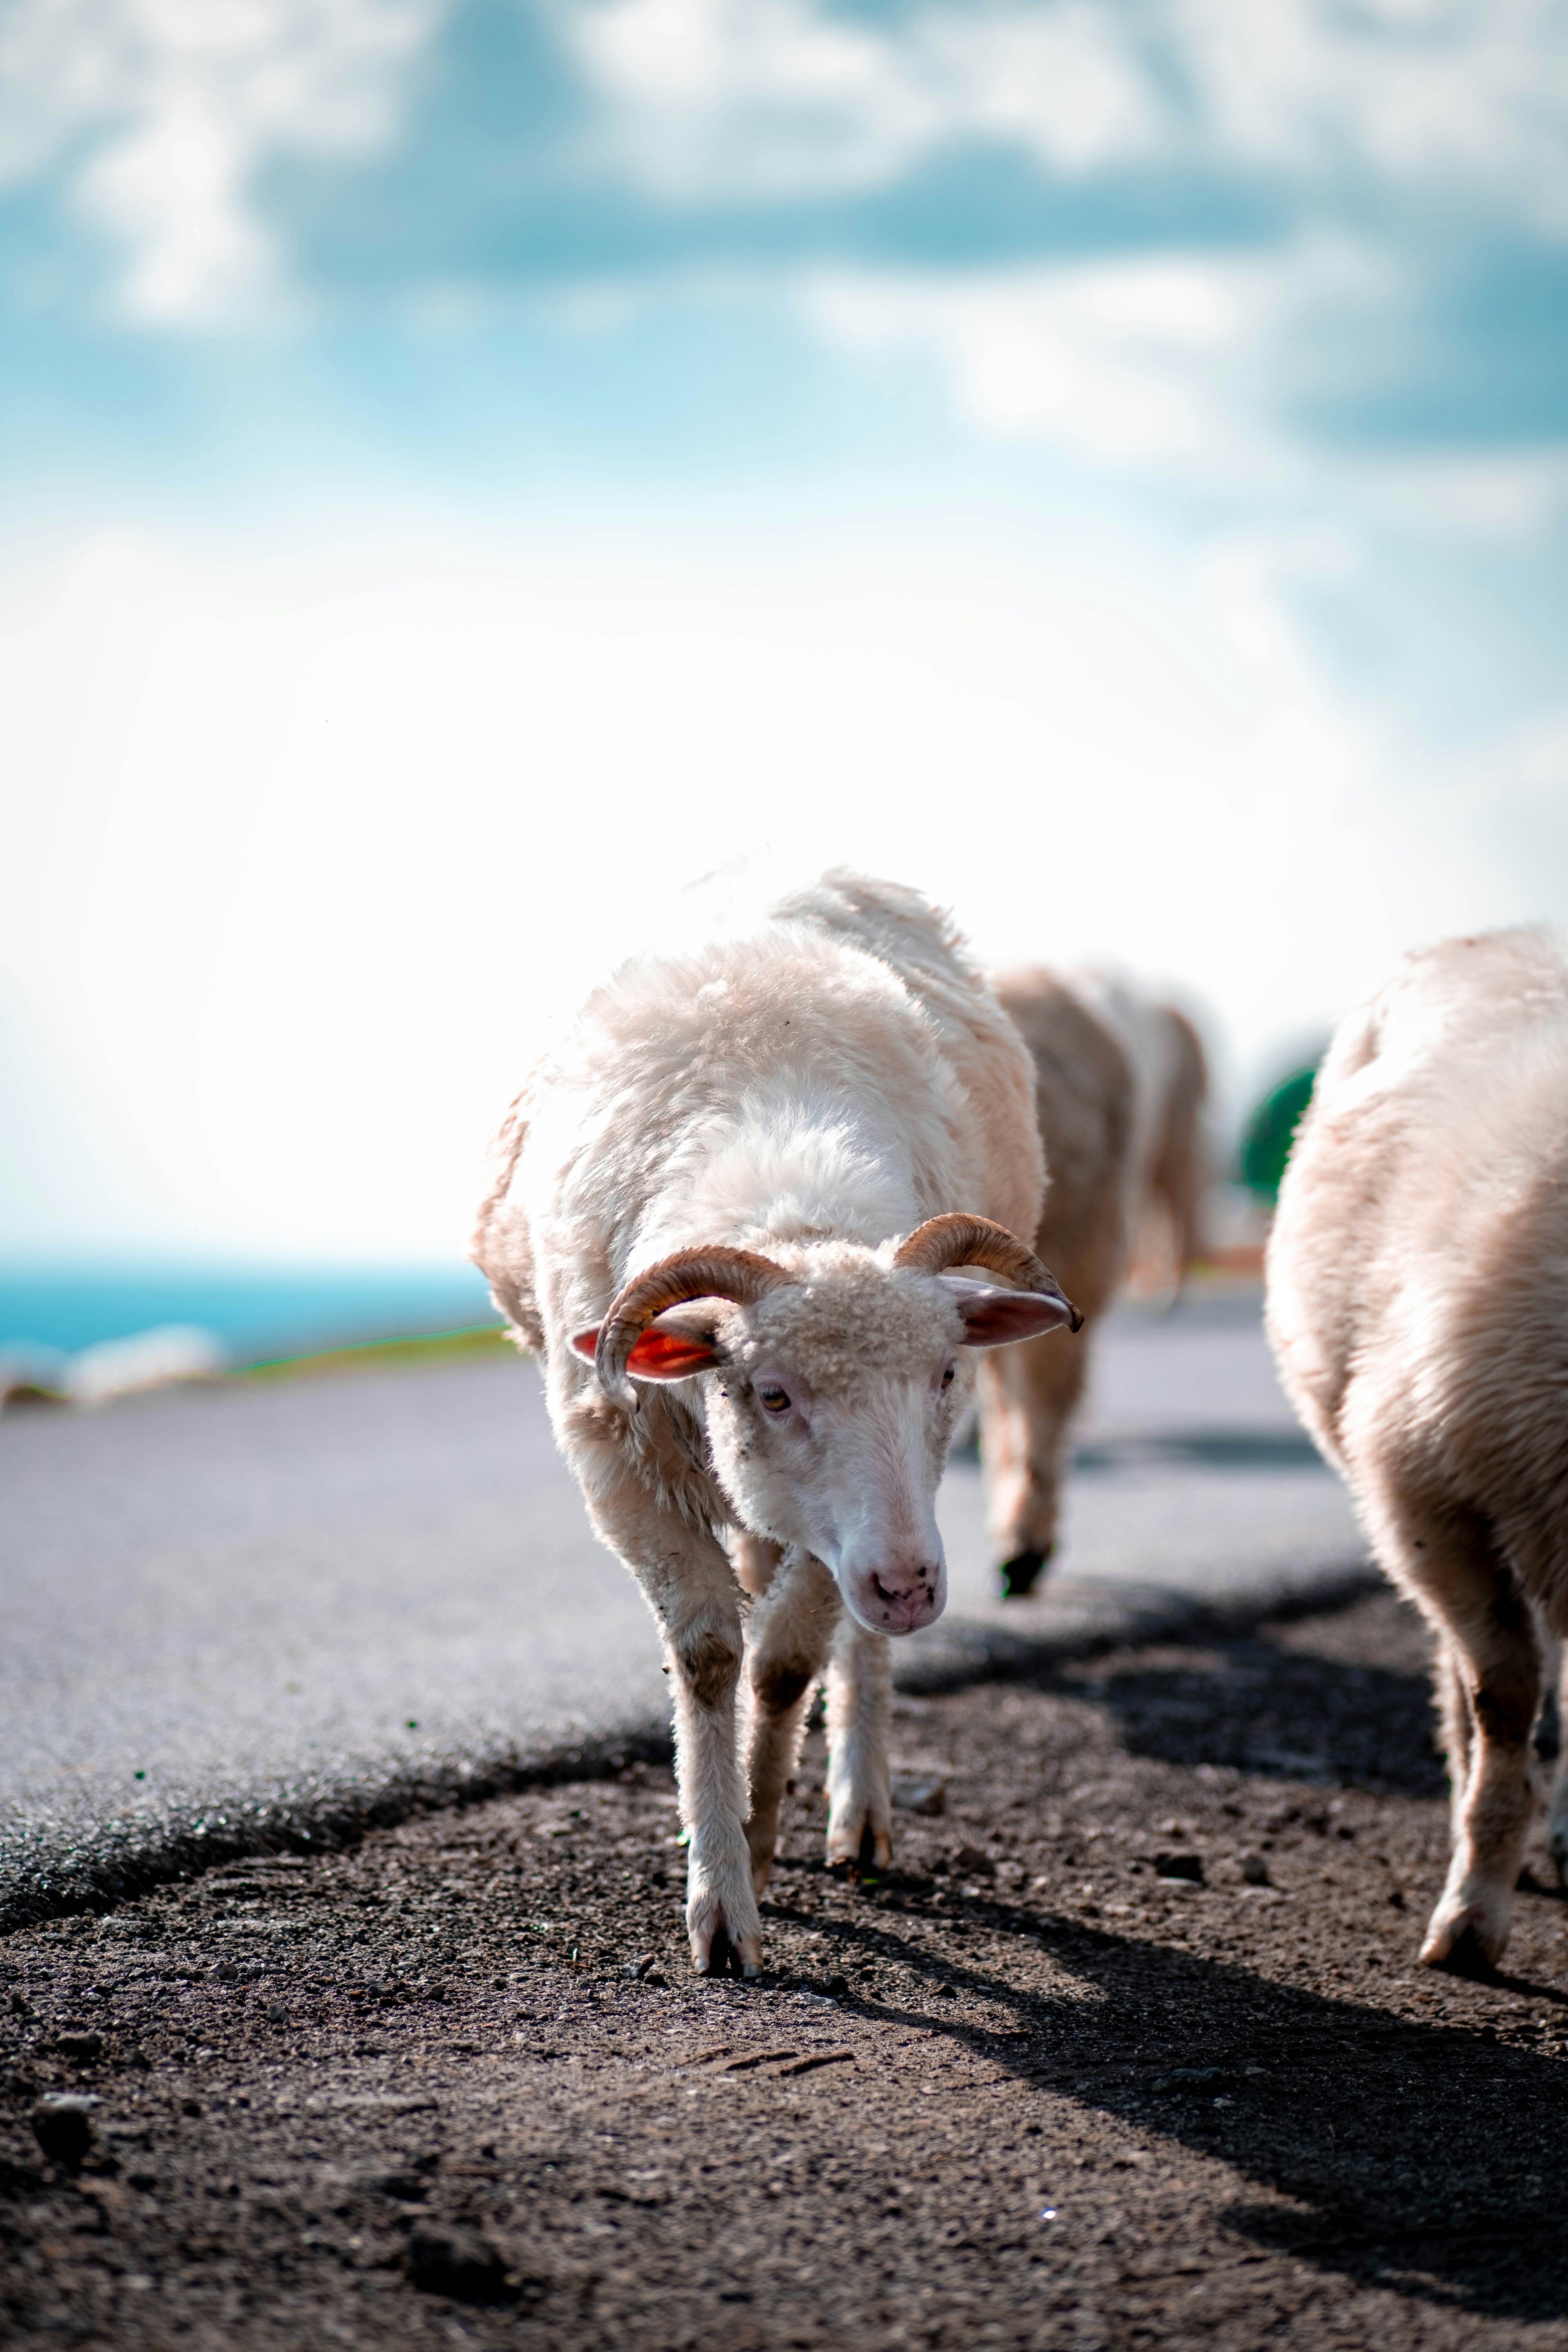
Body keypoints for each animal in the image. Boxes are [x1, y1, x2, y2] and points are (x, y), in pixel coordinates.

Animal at [473, 870, 1081, 1976]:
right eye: (773, 1392)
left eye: (942, 1372)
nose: (910, 1584)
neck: (787, 1201)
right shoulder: (619, 1461)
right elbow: (712, 1657)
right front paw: (720, 1892)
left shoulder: (867, 1515)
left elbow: (790, 1659)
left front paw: (757, 1834)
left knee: (851, 1644)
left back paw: (858, 1811)